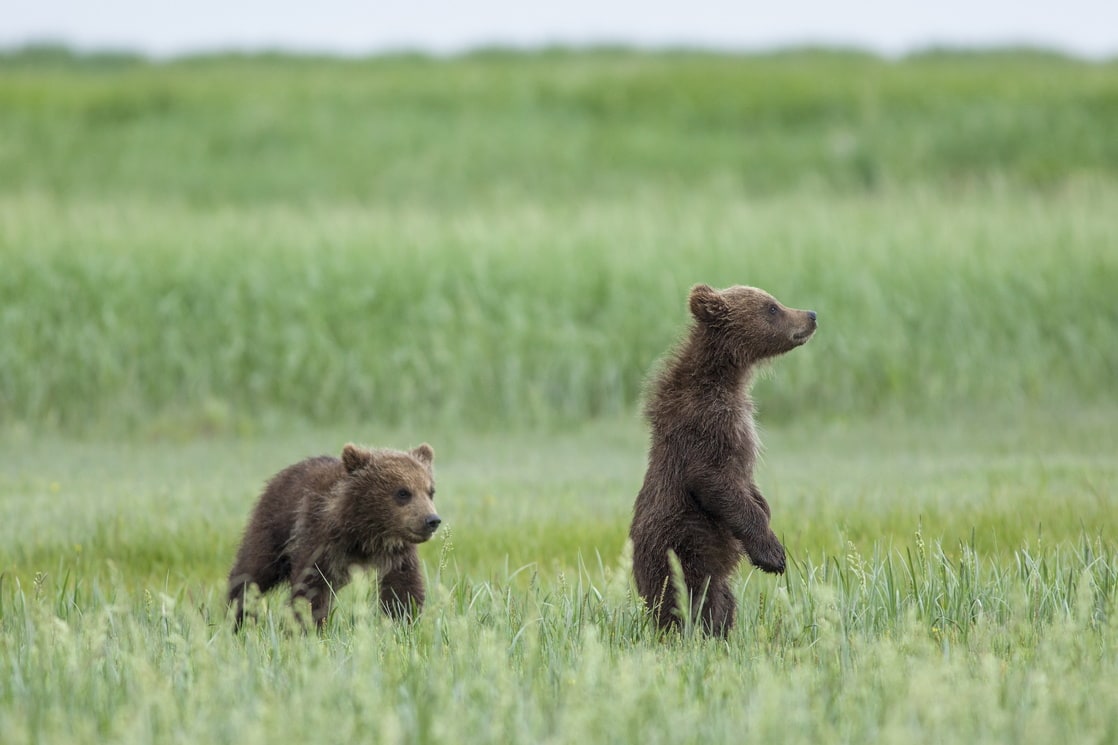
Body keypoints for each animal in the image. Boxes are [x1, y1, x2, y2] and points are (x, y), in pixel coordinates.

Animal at [227, 442, 440, 630]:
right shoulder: (321, 542)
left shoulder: (397, 553)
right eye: (403, 492)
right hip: (273, 527)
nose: (432, 520)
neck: (365, 535)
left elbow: (403, 590)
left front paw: (404, 623)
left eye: (430, 491)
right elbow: (311, 588)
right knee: (253, 571)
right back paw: (236, 617)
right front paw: (307, 628)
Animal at [629, 284, 817, 637]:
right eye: (772, 308)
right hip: (683, 552)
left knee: (723, 601)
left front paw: (766, 509)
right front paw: (772, 554)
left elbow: (748, 487)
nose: (811, 315)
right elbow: (715, 482)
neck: (727, 378)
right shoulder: (706, 427)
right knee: (696, 601)